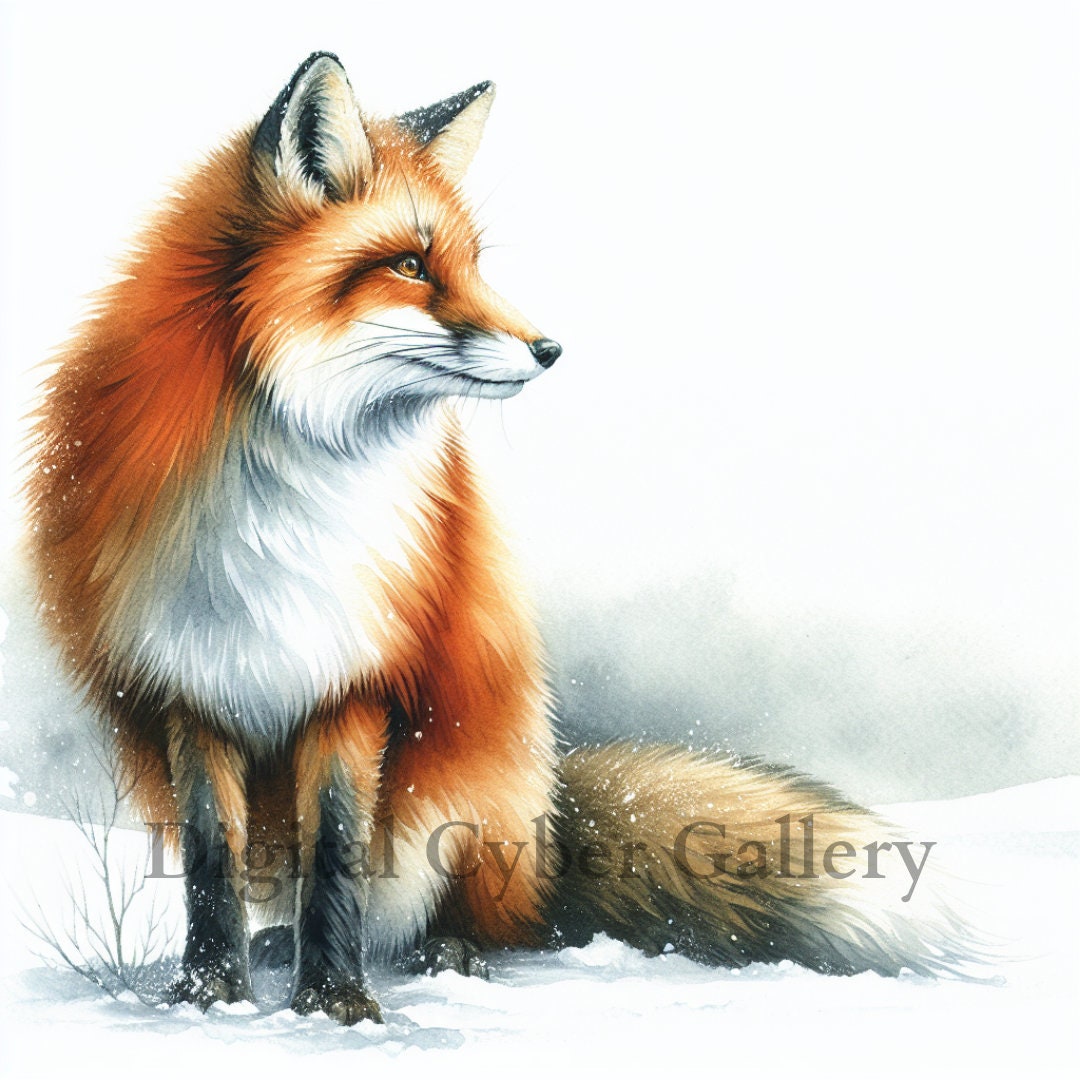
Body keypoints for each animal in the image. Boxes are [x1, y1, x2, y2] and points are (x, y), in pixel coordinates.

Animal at [26, 52, 973, 1026]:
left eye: (473, 265)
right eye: (409, 264)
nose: (550, 349)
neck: (282, 498)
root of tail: (552, 815)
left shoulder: (356, 682)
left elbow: (336, 856)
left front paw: (334, 999)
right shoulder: (190, 684)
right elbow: (213, 865)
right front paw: (209, 991)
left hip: (466, 802)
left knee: (480, 922)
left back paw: (444, 950)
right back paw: (277, 945)